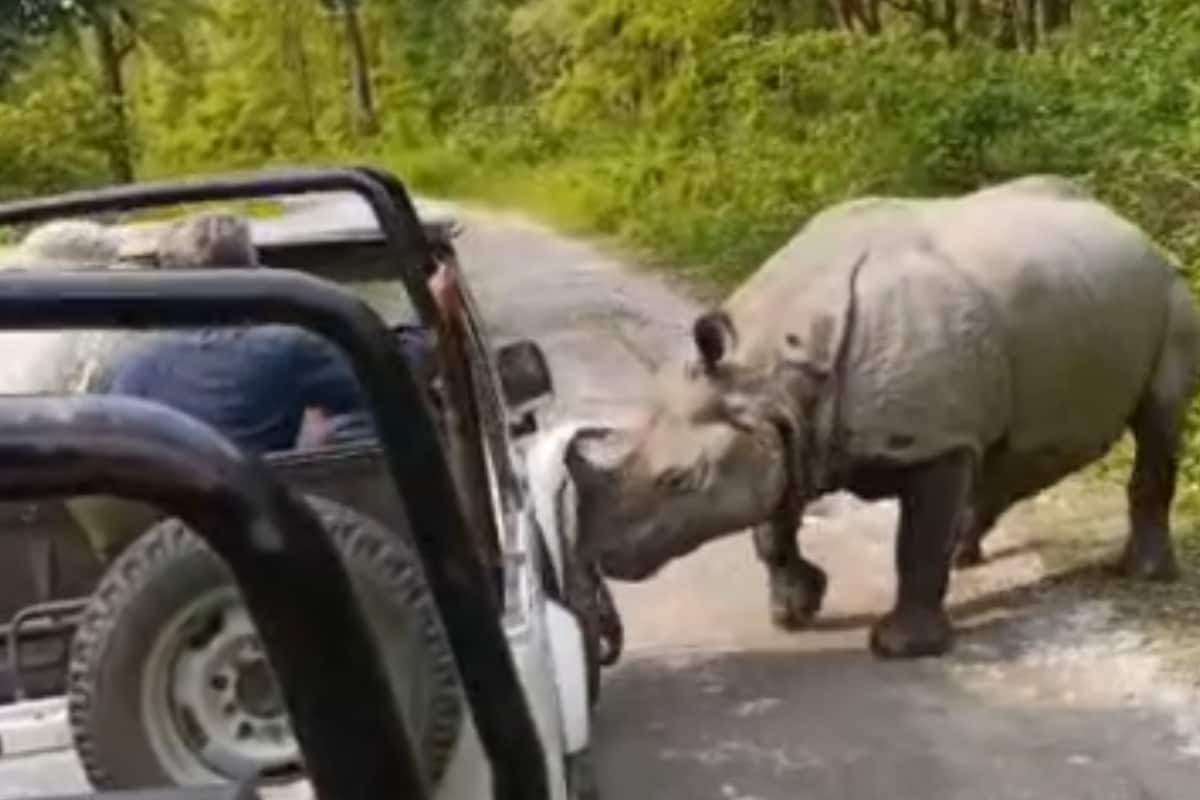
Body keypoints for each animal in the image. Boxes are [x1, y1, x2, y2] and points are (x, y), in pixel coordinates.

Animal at [565, 175, 1200, 659]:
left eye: (679, 481)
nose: (607, 558)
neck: (772, 369)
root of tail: (1131, 228)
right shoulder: (781, 424)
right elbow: (772, 525)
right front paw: (794, 611)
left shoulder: (930, 441)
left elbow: (913, 542)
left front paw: (900, 647)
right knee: (999, 449)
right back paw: (966, 556)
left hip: (1169, 291)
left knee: (1157, 420)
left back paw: (1144, 574)